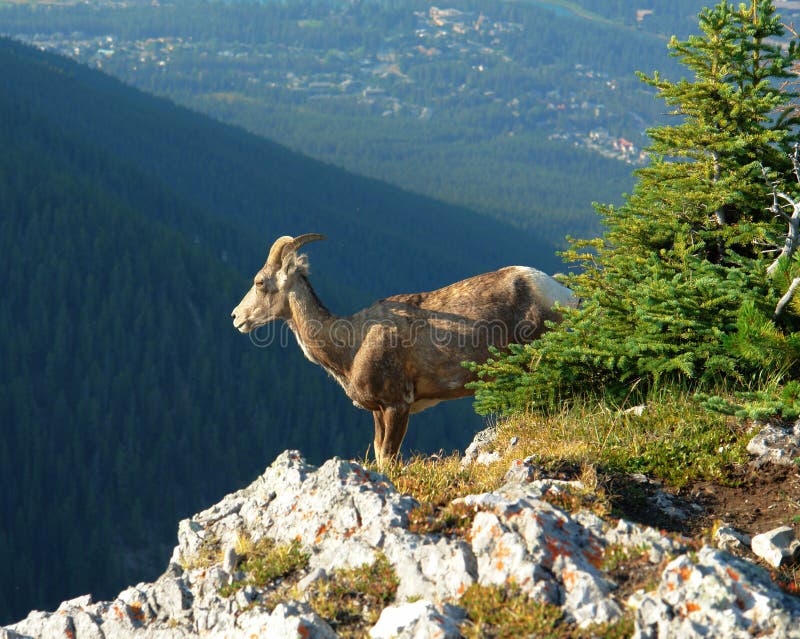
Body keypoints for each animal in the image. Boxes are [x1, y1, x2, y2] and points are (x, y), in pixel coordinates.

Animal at [231, 234, 576, 465]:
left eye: (260, 282)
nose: (236, 317)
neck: (351, 345)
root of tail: (564, 293)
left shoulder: (397, 404)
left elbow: (388, 460)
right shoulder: (379, 411)